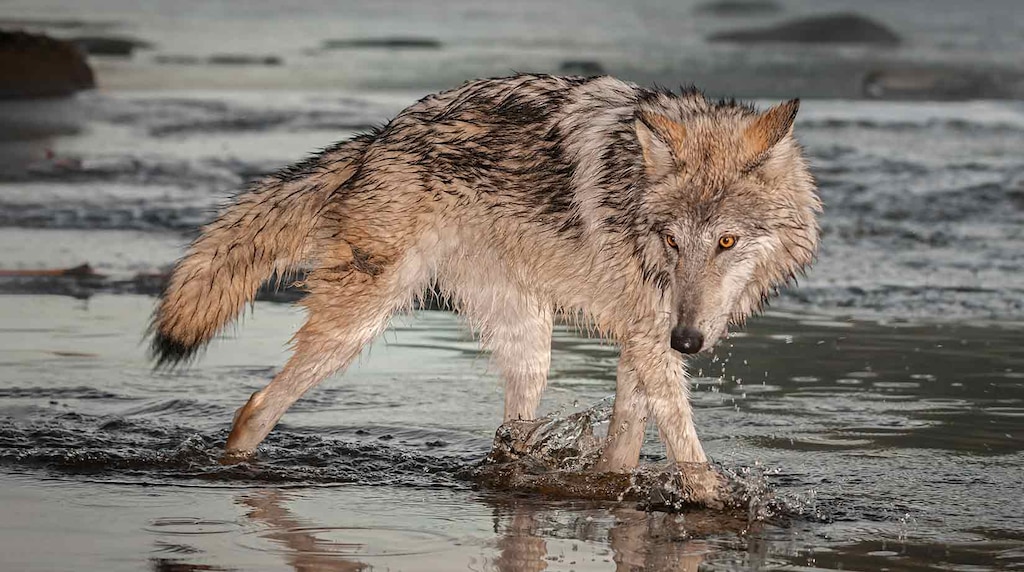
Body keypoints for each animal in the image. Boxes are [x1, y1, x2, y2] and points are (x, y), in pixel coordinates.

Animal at [151, 74, 819, 475]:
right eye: (672, 241)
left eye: (727, 242)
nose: (689, 340)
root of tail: (376, 140)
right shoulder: (651, 339)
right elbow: (687, 449)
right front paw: (717, 505)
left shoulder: (643, 340)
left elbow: (626, 445)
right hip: (361, 323)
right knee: (256, 407)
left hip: (530, 344)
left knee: (508, 435)